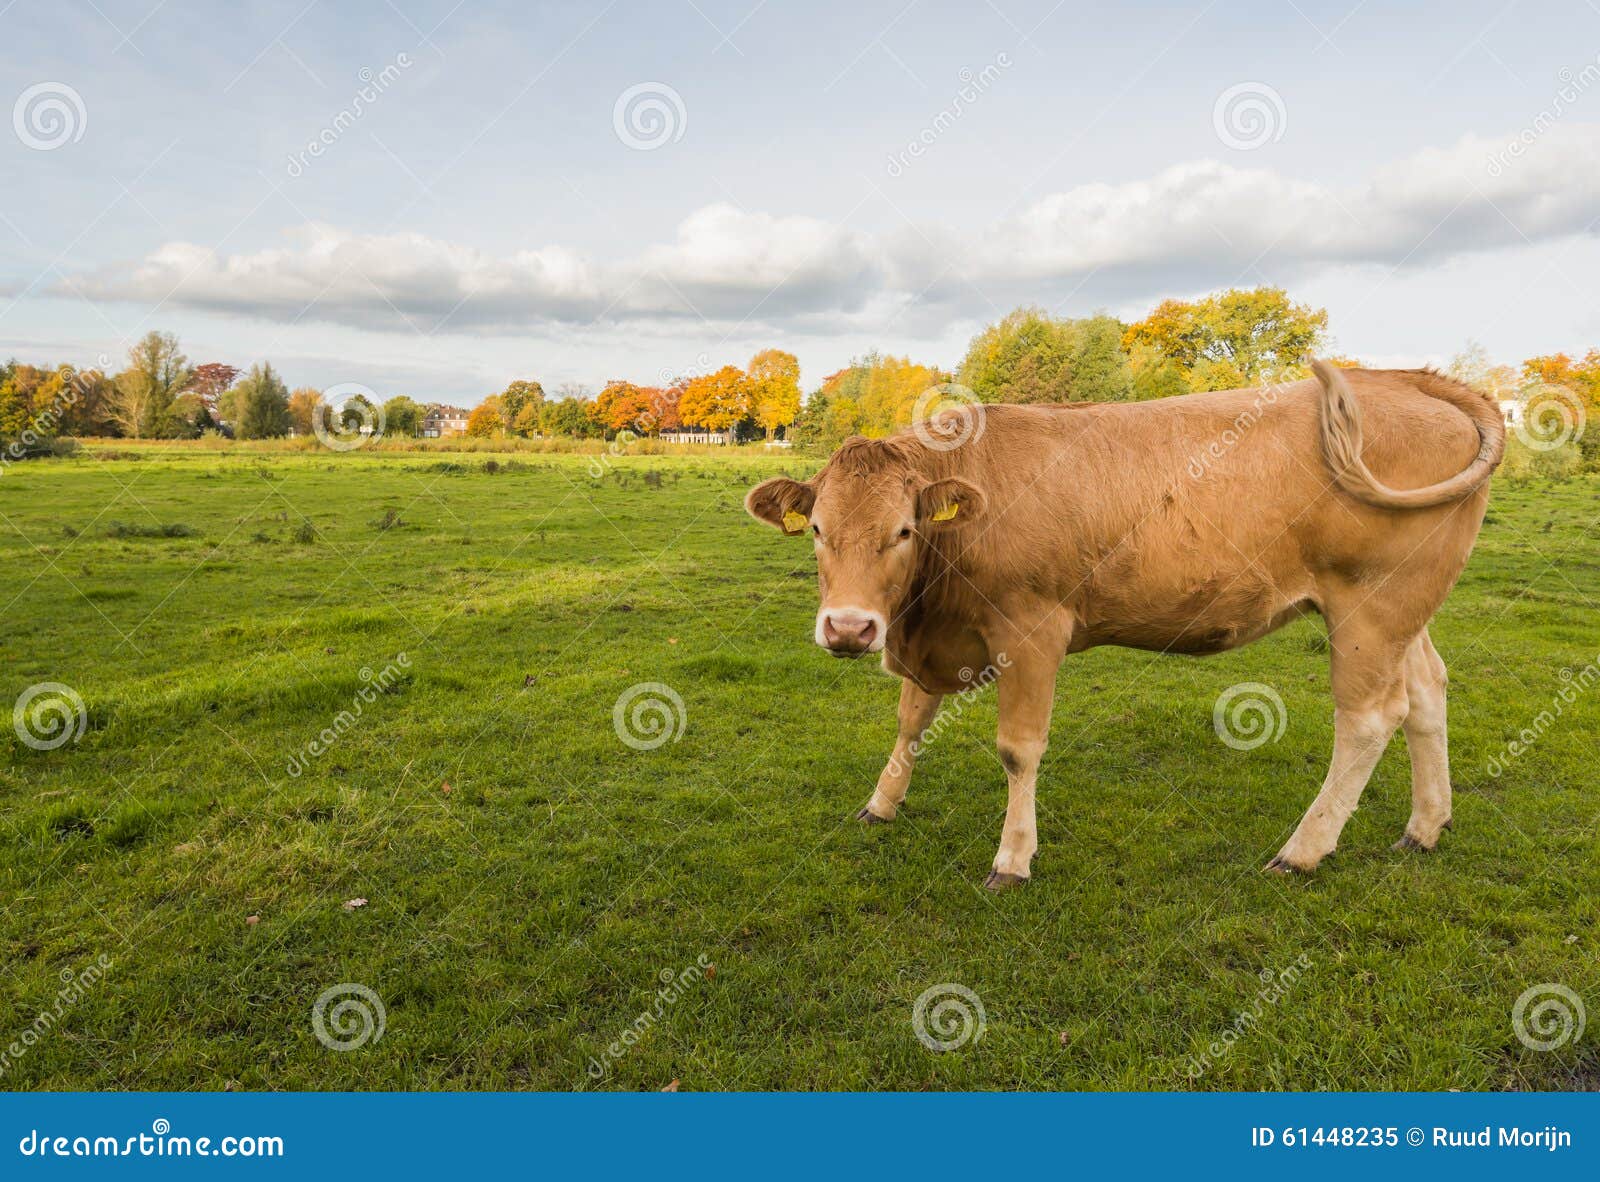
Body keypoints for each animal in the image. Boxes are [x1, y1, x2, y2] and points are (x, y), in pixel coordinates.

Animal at [745, 362, 1505, 889]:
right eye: (817, 529)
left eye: (903, 531)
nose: (849, 629)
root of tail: (1401, 377)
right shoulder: (930, 637)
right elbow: (911, 722)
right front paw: (882, 804)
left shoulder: (1032, 631)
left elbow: (1018, 750)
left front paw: (1013, 859)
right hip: (1400, 607)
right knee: (1427, 693)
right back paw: (1425, 826)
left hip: (1370, 607)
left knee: (1369, 719)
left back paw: (1303, 851)